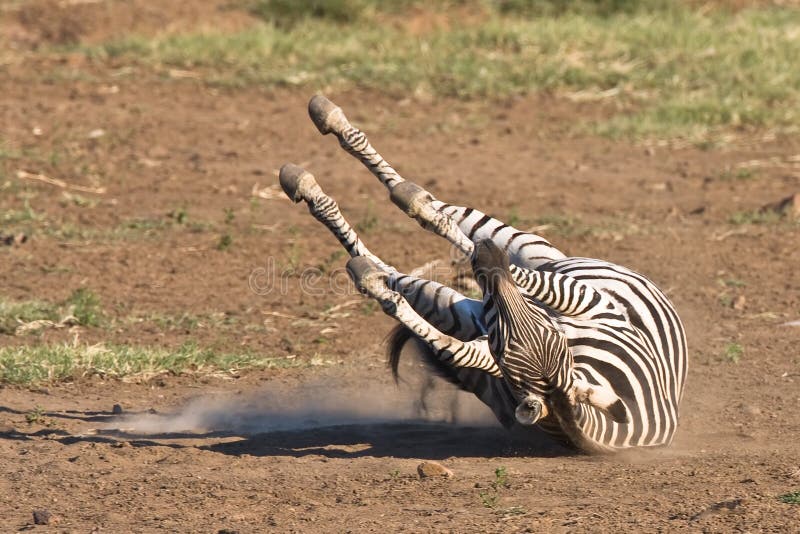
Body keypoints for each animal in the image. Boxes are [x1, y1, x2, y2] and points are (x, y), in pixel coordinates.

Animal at [278, 95, 688, 453]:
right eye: (505, 342)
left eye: (549, 333)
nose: (489, 261)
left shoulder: (580, 301)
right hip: (488, 296)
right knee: (436, 251)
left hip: (516, 268)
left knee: (437, 229)